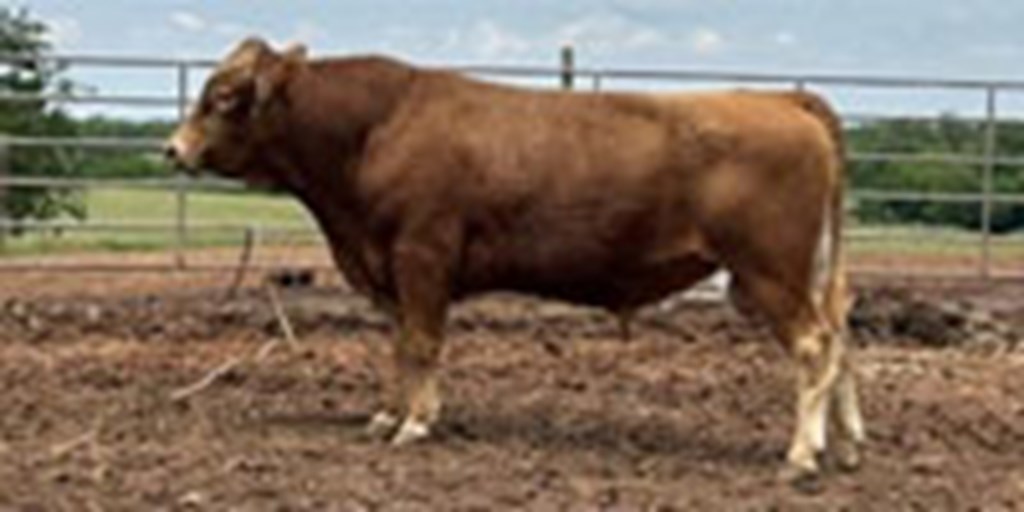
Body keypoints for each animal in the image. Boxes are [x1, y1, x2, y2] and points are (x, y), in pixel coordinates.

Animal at [166, 37, 863, 483]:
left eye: (224, 97)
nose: (173, 148)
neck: (374, 131)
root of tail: (781, 100)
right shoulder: (390, 270)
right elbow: (400, 345)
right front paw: (389, 413)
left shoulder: (422, 257)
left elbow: (421, 342)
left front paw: (414, 424)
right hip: (808, 276)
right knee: (839, 339)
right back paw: (847, 446)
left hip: (770, 272)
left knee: (813, 348)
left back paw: (801, 455)